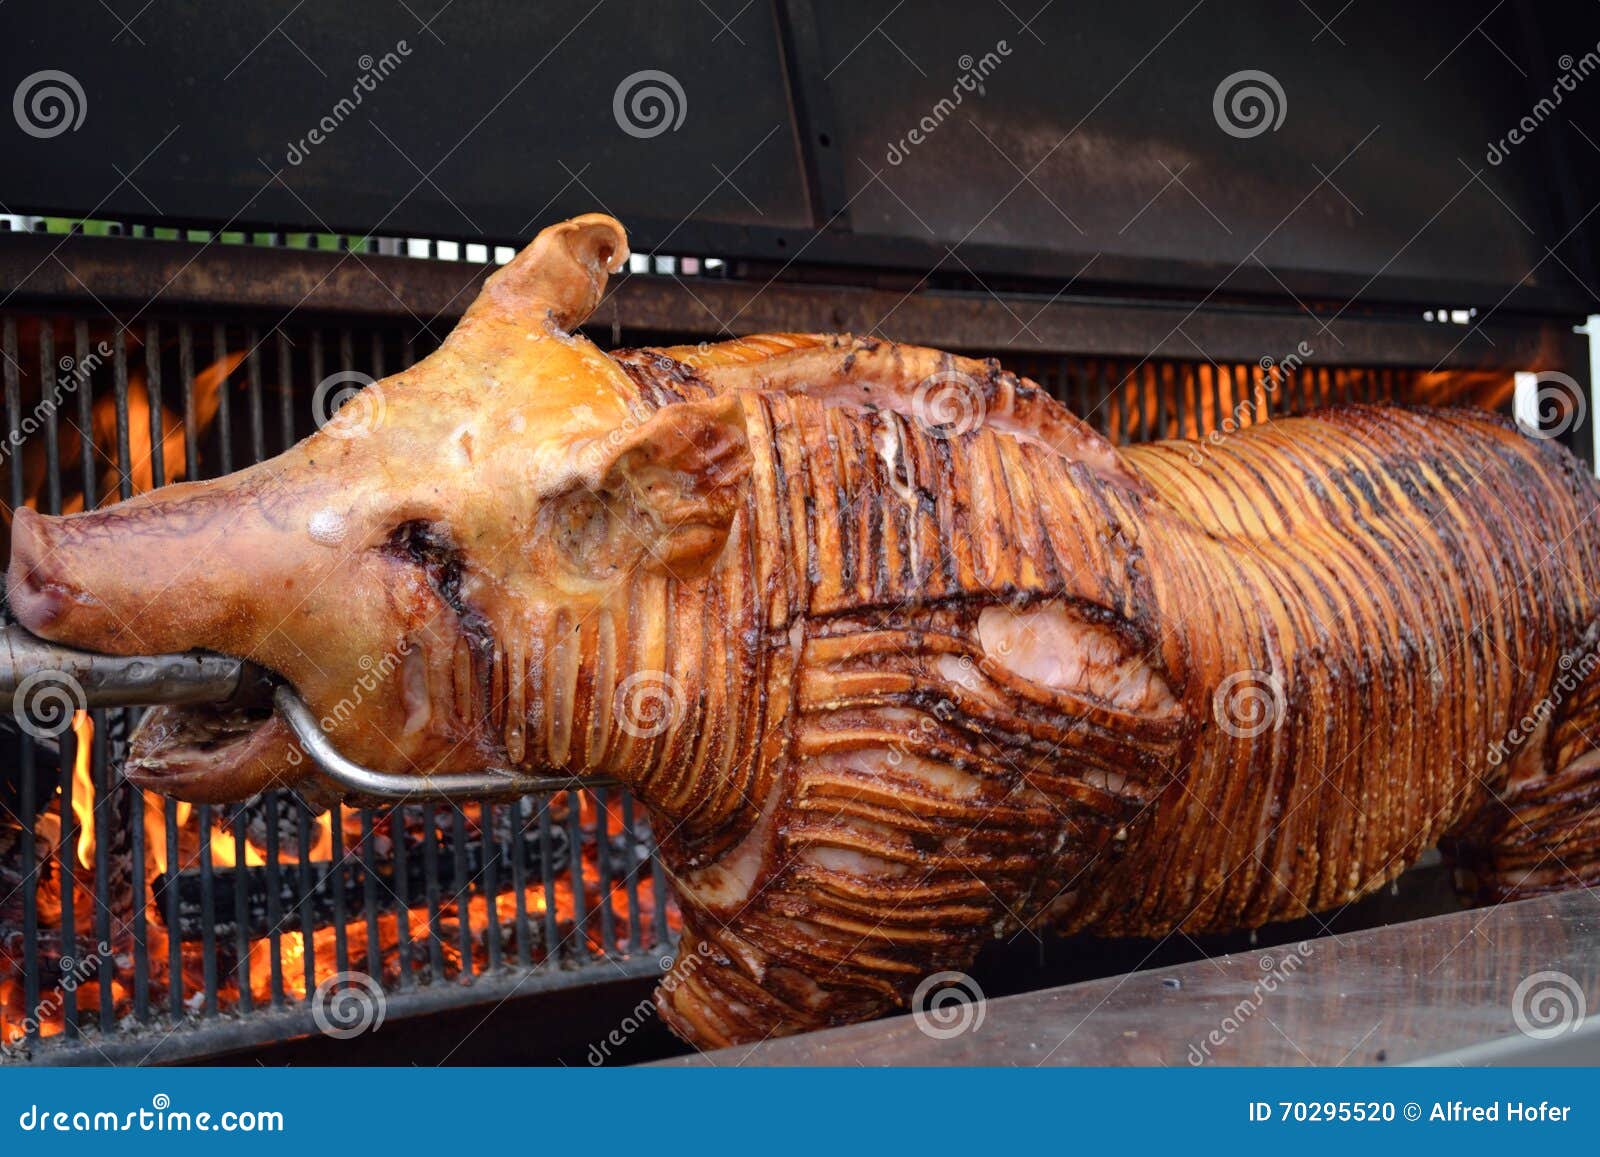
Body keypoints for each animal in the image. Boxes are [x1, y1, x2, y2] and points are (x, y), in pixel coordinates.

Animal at [10, 213, 1600, 1051]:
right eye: (340, 418)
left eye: (425, 543)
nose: (30, 549)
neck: (743, 604)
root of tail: (1559, 472)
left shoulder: (864, 872)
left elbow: (717, 1013)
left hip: (1561, 761)